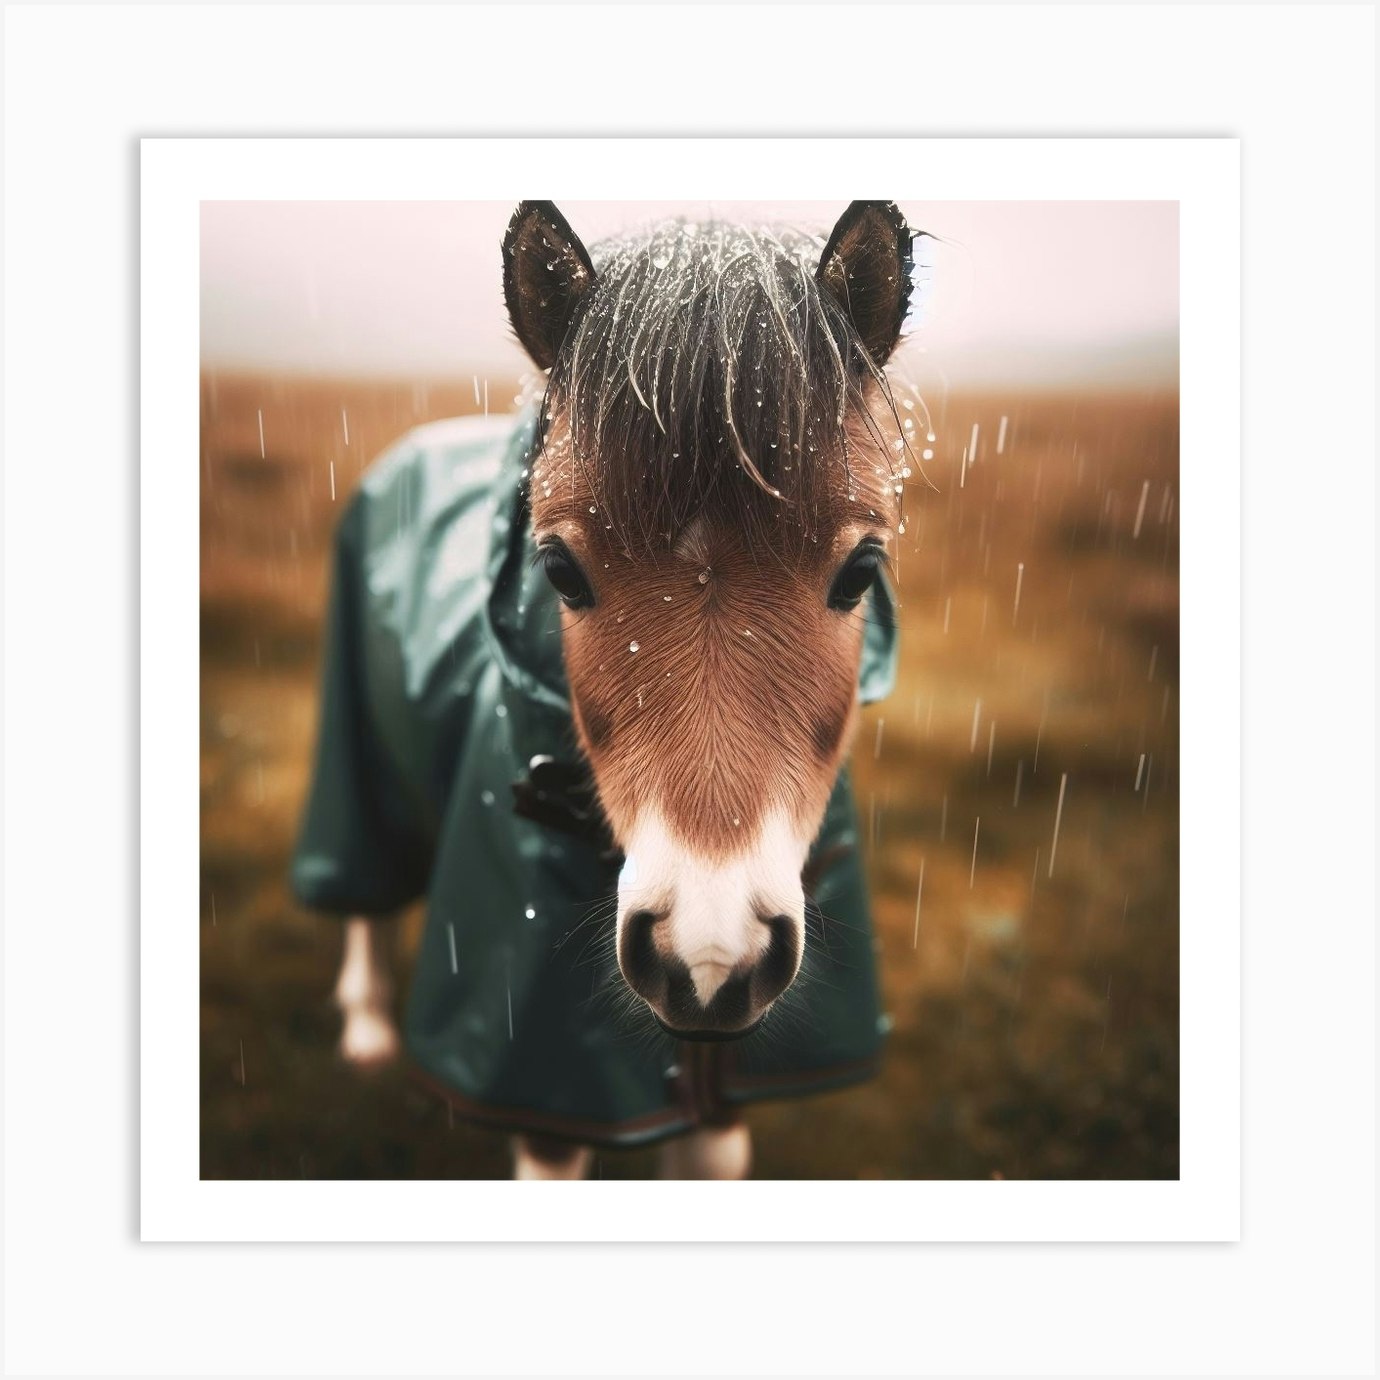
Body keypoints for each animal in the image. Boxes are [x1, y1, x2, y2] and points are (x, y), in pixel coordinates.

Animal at [300, 200, 920, 1179]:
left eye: (861, 569)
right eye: (559, 568)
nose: (709, 949)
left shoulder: (717, 1111)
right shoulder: (550, 1103)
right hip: (355, 753)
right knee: (359, 888)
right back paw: (364, 1029)